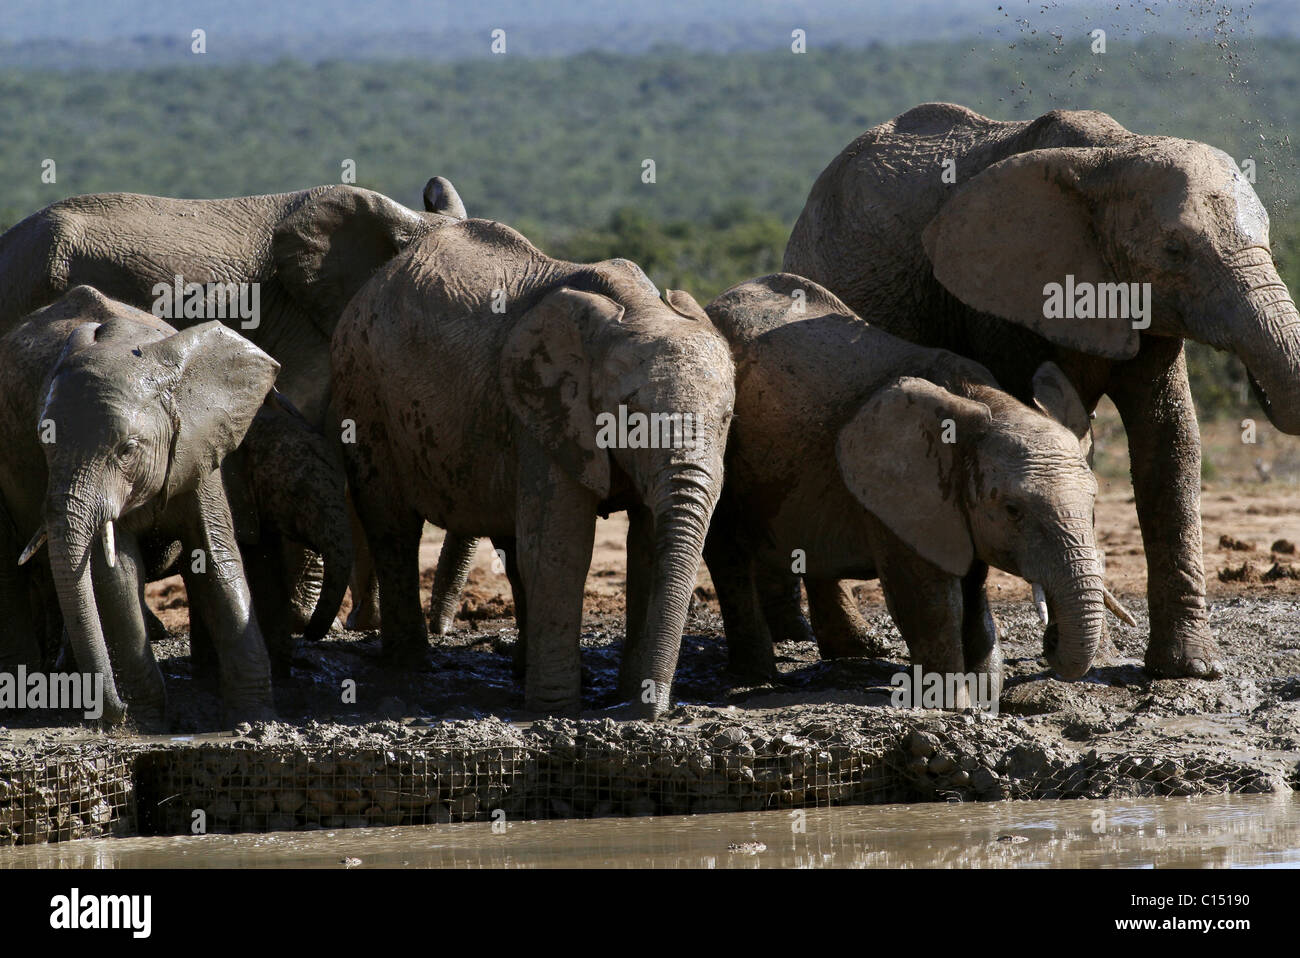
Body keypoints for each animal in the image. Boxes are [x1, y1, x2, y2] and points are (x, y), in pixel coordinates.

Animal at [0, 286, 280, 727]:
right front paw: (146, 723)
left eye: (127, 449)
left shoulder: (196, 448)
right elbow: (117, 573)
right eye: (43, 444)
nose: (116, 712)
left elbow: (216, 558)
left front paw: (253, 718)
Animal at [331, 218, 735, 718]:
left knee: (510, 541)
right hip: (362, 389)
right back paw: (411, 665)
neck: (639, 310)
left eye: (727, 418)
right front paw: (556, 708)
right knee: (393, 525)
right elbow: (560, 546)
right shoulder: (545, 411)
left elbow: (643, 546)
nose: (654, 711)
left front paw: (623, 697)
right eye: (632, 418)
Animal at [702, 274, 1118, 698]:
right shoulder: (897, 491)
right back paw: (756, 675)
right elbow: (926, 597)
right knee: (728, 554)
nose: (1049, 642)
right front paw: (952, 703)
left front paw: (984, 694)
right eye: (1013, 511)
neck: (988, 405)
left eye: (1093, 509)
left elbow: (973, 589)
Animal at [784, 102, 1300, 679]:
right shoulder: (999, 294)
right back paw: (853, 647)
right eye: (1175, 250)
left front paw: (1190, 669)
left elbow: (1169, 443)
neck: (1112, 155)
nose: (1254, 384)